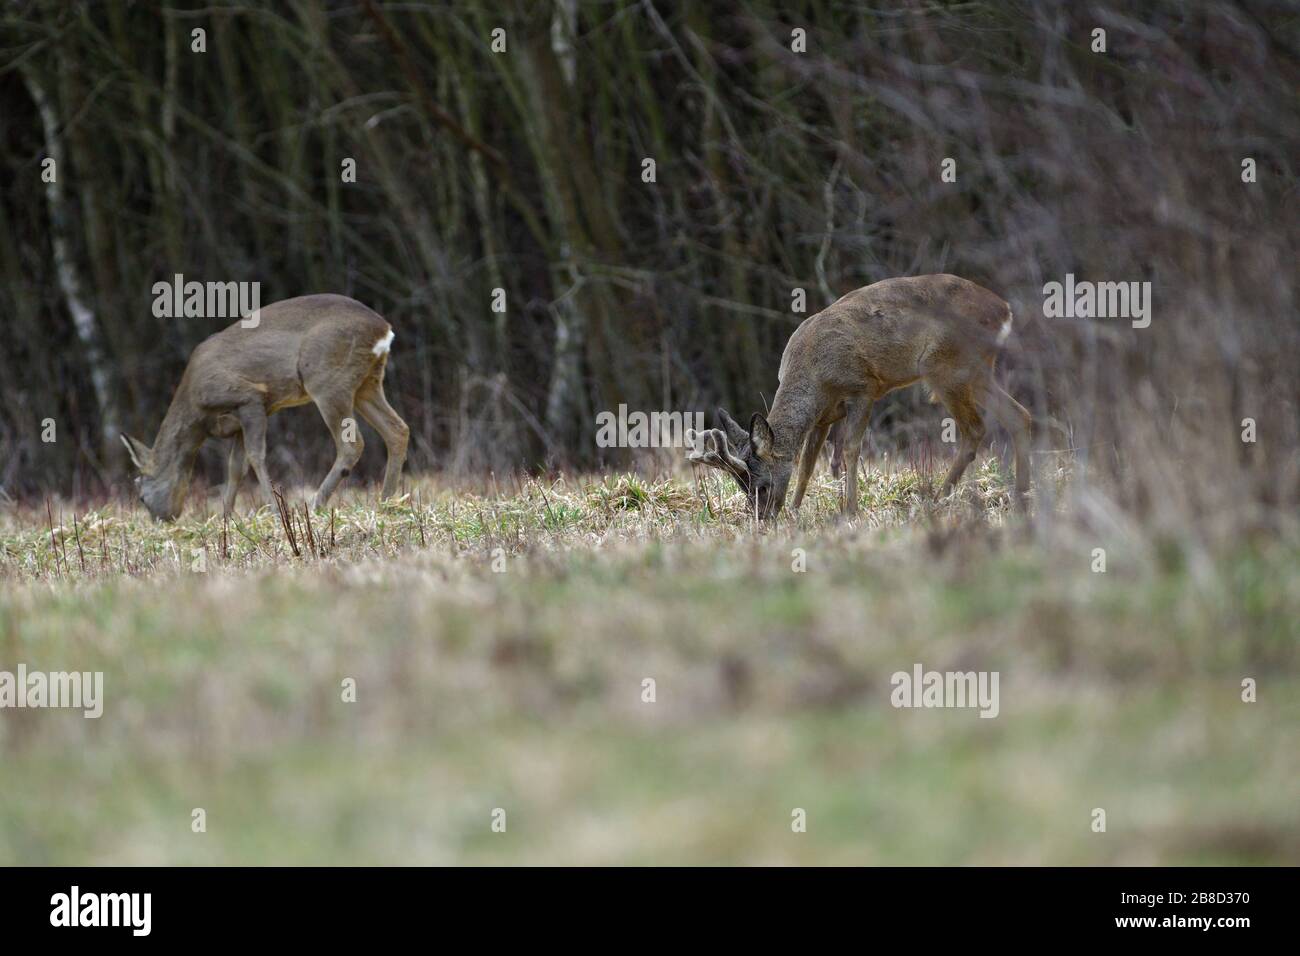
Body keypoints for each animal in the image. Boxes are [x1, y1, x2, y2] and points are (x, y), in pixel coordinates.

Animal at [121, 294, 409, 521]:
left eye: (141, 496)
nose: (161, 521)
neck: (196, 410)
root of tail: (384, 329)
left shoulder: (251, 398)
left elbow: (255, 457)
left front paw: (274, 511)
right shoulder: (240, 420)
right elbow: (235, 467)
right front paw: (226, 517)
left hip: (327, 380)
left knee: (352, 444)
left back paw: (316, 504)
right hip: (367, 383)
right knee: (397, 430)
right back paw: (386, 502)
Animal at [687, 274, 1032, 519]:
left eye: (762, 486)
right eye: (742, 487)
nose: (762, 518)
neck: (813, 372)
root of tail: (1004, 310)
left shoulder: (863, 388)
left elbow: (851, 449)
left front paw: (850, 509)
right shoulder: (823, 414)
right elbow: (807, 463)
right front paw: (796, 511)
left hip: (947, 368)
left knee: (975, 429)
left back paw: (938, 499)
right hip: (977, 371)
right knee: (1019, 416)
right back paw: (1022, 495)